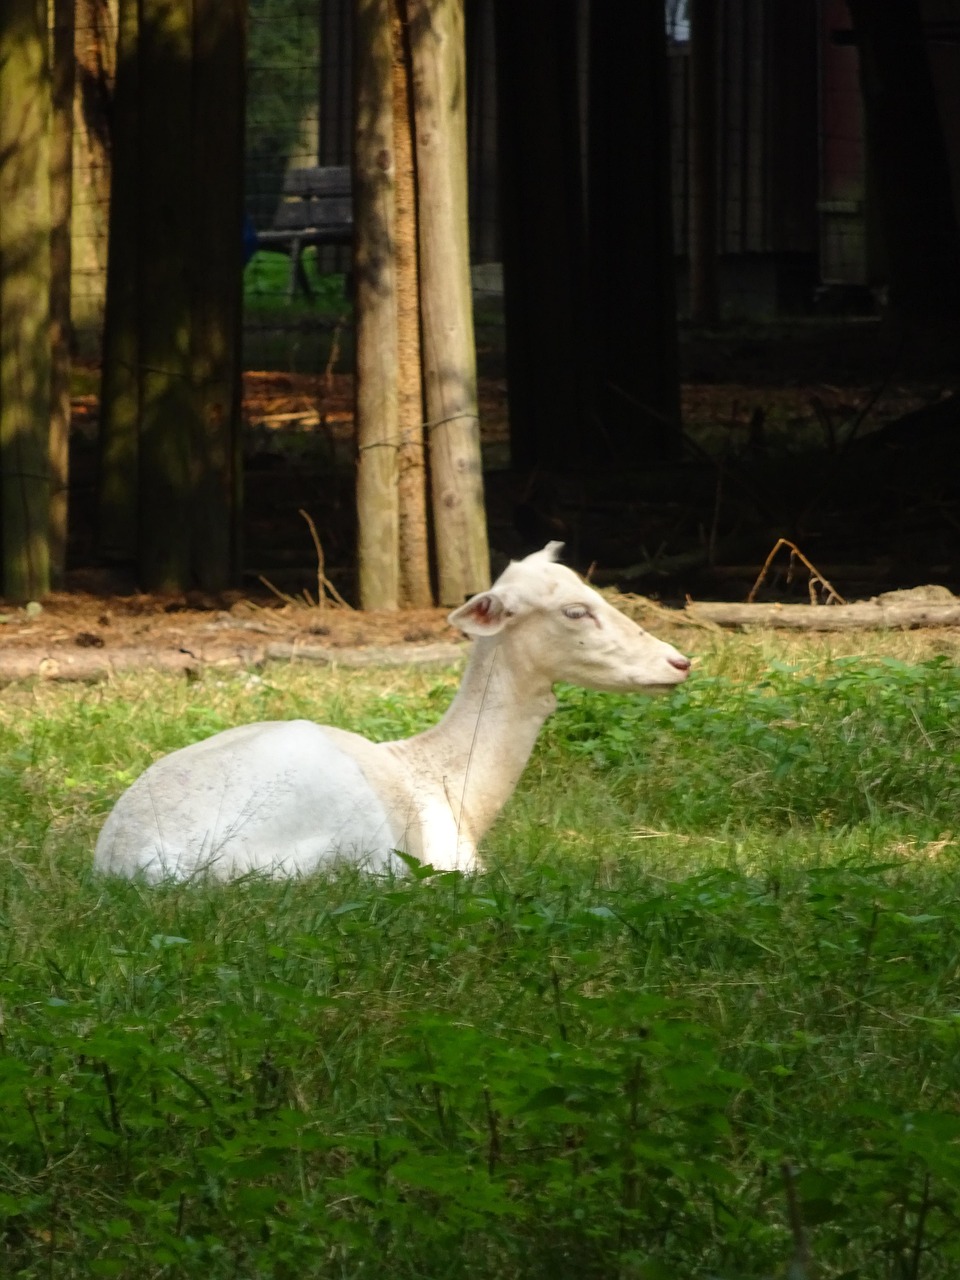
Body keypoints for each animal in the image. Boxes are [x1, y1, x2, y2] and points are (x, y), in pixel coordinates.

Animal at [94, 543, 691, 881]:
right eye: (575, 611)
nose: (679, 661)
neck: (456, 790)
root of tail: (148, 865)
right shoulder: (453, 857)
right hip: (354, 841)